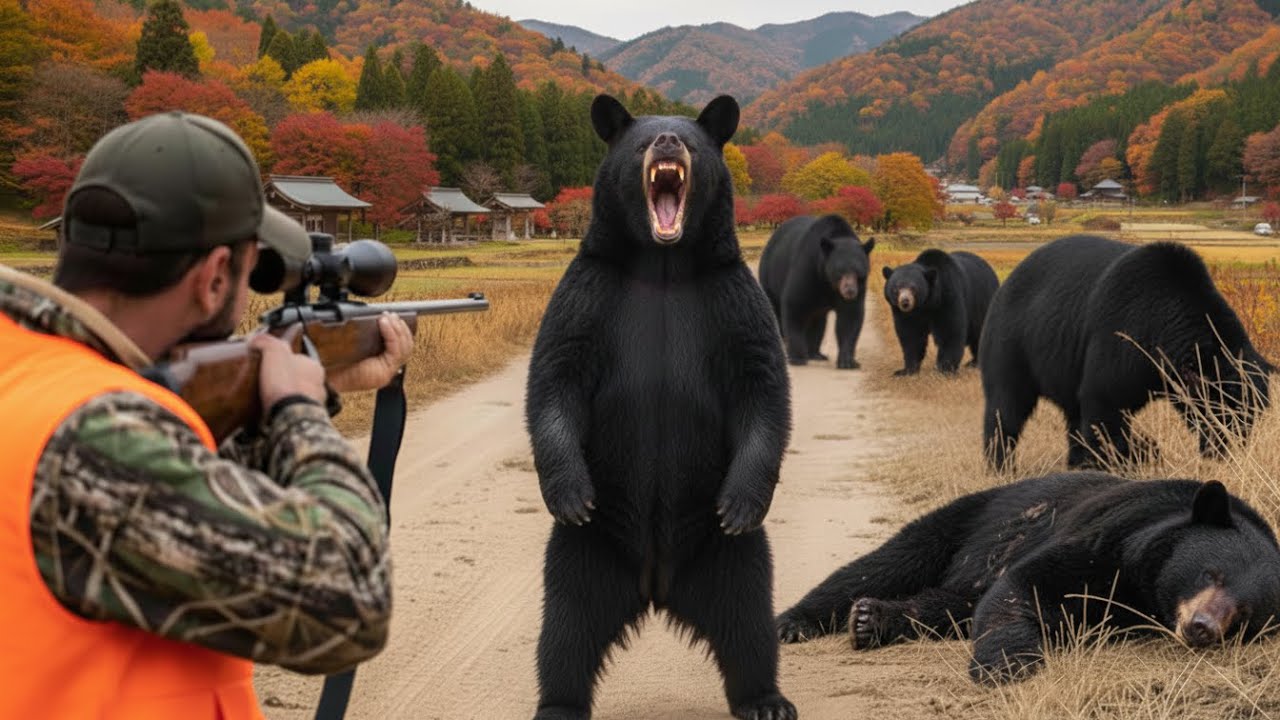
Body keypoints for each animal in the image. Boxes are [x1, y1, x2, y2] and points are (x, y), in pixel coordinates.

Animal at [524, 94, 795, 720]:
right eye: (644, 141)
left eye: (689, 142)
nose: (668, 141)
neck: (663, 265)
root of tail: (655, 584)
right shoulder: (589, 292)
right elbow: (555, 375)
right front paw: (568, 491)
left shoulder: (731, 298)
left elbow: (762, 385)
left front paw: (742, 501)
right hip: (587, 549)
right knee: (566, 626)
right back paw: (558, 704)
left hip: (726, 555)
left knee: (749, 619)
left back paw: (766, 699)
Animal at [758, 214, 875, 369]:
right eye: (841, 271)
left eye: (858, 272)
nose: (850, 291)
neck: (827, 280)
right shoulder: (807, 269)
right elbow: (794, 306)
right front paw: (797, 357)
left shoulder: (858, 289)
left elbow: (850, 317)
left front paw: (848, 361)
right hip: (770, 277)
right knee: (776, 311)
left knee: (818, 321)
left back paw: (816, 354)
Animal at [775, 471, 1280, 684]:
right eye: (1210, 572)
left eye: (1244, 614)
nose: (1202, 628)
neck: (1142, 584)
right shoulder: (1110, 536)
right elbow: (1028, 583)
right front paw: (1007, 666)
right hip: (971, 520)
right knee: (887, 562)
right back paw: (793, 622)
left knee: (949, 605)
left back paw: (871, 620)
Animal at [979, 234, 1273, 472]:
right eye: (1224, 412)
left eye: (1254, 413)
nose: (1227, 452)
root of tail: (1005, 283)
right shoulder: (1122, 335)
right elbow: (1105, 403)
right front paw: (1124, 458)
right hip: (1011, 344)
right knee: (1007, 405)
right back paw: (1001, 464)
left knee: (1071, 411)